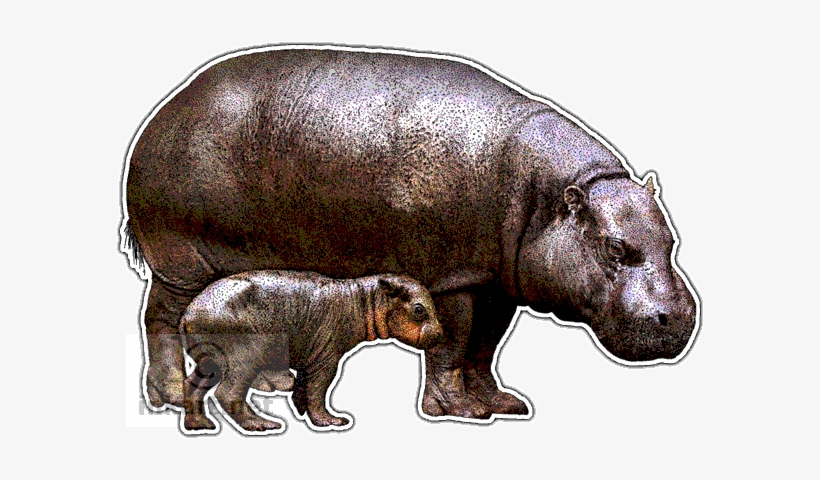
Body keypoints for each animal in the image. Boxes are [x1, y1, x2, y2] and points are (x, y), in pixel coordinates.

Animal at [179, 271, 442, 433]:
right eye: (419, 309)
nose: (440, 334)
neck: (362, 299)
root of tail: (187, 315)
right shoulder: (326, 357)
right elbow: (318, 389)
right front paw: (333, 421)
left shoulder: (310, 356)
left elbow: (304, 386)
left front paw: (301, 411)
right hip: (246, 356)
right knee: (228, 392)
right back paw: (264, 425)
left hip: (209, 361)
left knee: (193, 385)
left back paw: (200, 425)